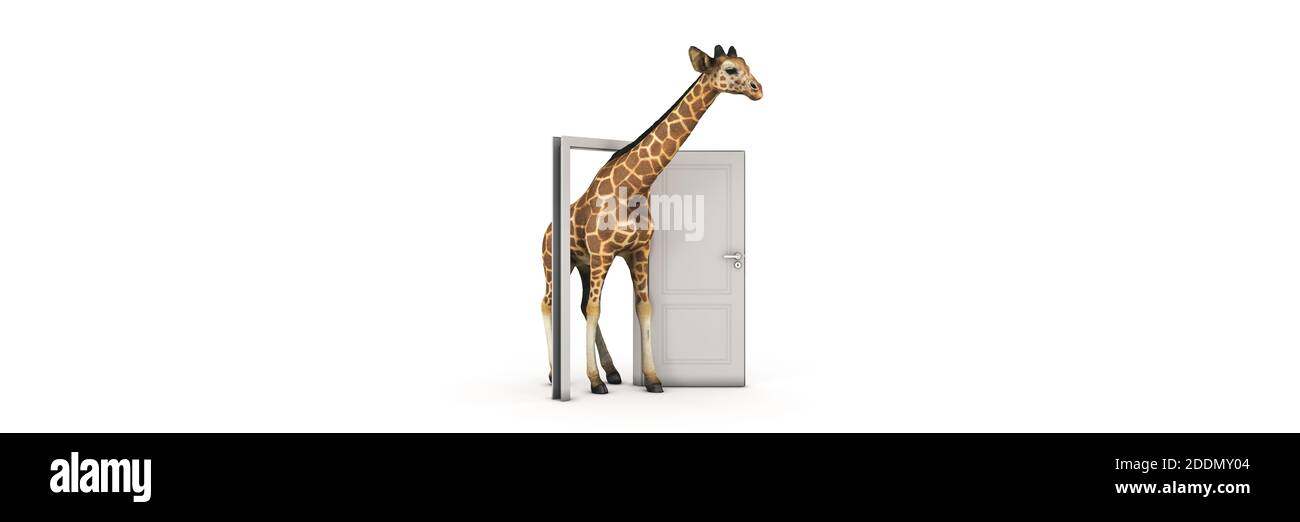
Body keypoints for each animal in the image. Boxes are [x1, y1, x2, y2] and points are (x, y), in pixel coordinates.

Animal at [541, 45, 762, 394]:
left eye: (746, 65)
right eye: (730, 69)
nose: (758, 89)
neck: (636, 185)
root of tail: (546, 231)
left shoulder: (639, 251)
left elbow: (643, 307)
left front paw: (653, 379)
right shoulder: (604, 252)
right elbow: (596, 308)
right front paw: (594, 382)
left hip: (584, 264)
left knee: (578, 305)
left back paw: (612, 371)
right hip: (555, 263)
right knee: (549, 304)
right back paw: (554, 374)